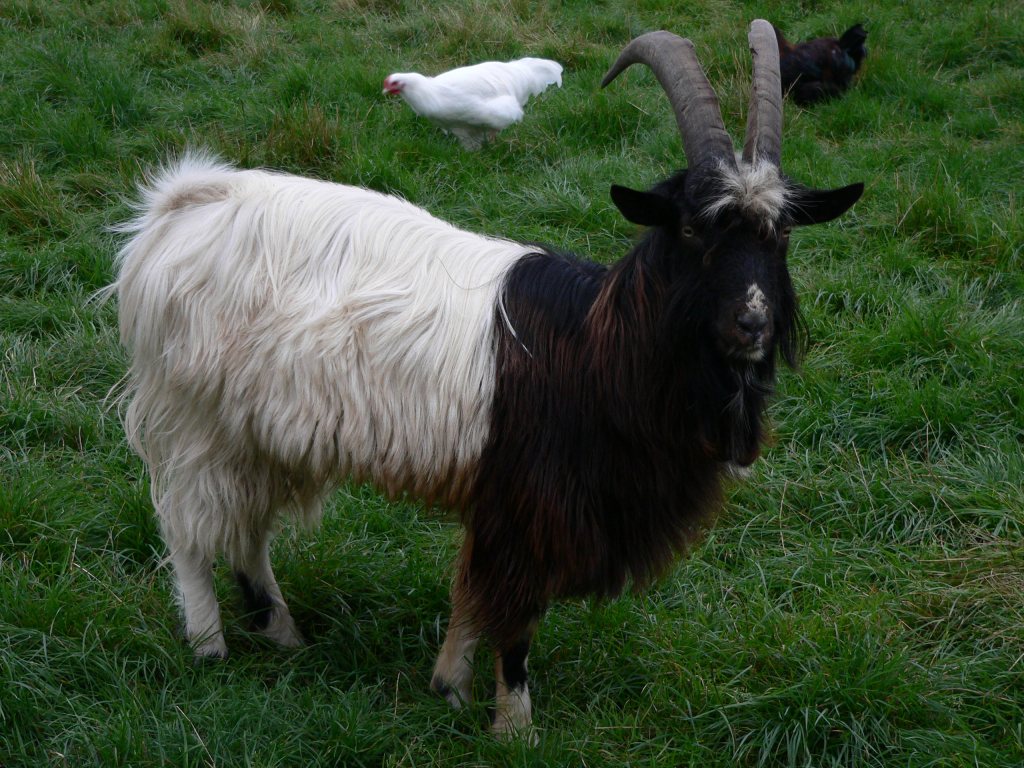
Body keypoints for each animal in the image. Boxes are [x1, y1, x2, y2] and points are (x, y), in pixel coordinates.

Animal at [111, 20, 862, 738]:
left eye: (781, 234)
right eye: (689, 229)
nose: (752, 322)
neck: (597, 348)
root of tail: (182, 205)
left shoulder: (504, 499)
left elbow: (472, 593)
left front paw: (448, 685)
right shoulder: (534, 501)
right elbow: (514, 615)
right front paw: (514, 726)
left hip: (259, 432)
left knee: (246, 529)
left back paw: (283, 632)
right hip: (201, 416)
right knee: (187, 524)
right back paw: (209, 644)